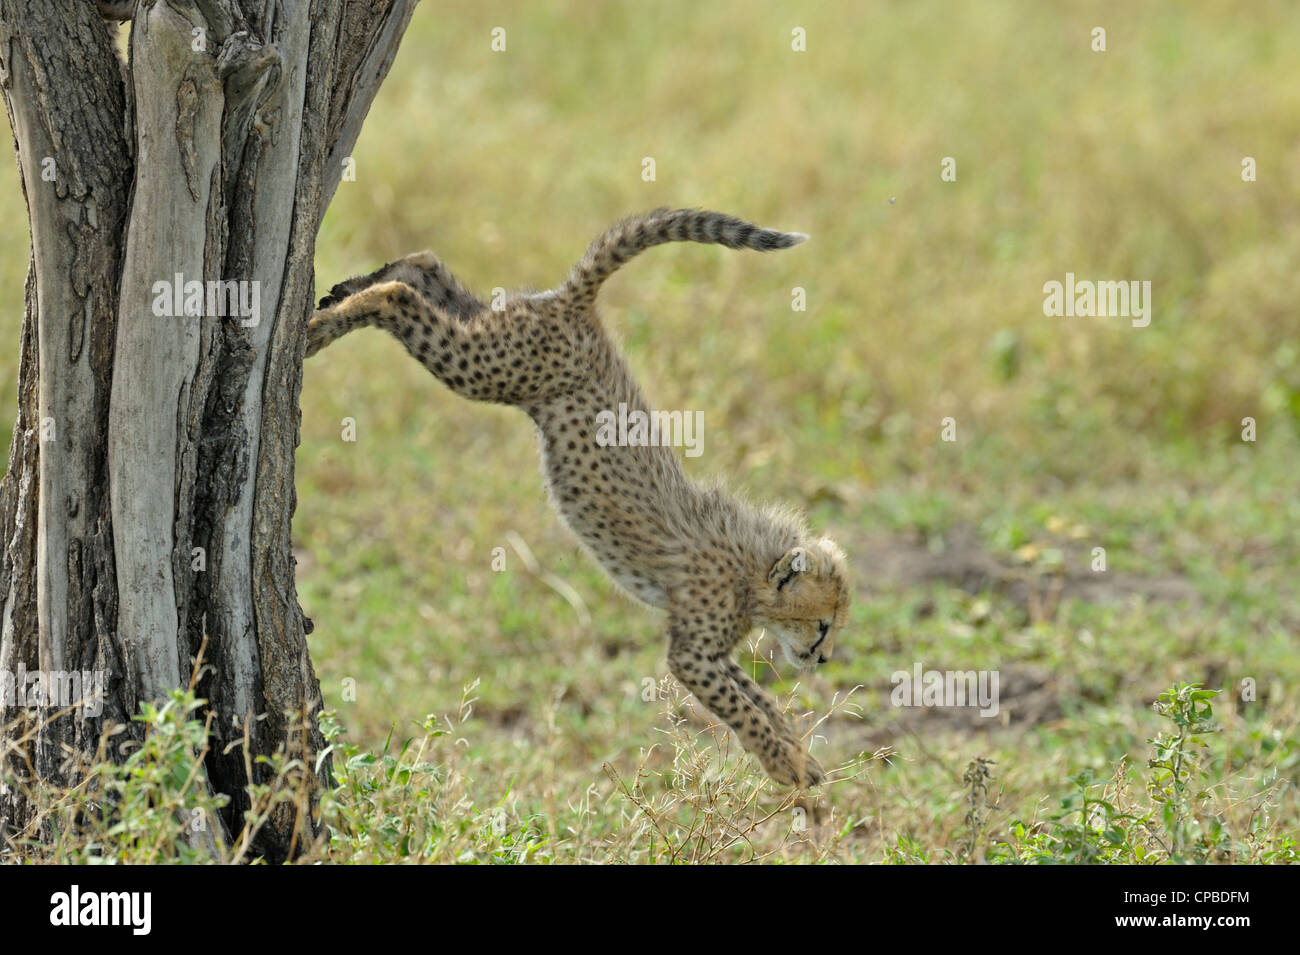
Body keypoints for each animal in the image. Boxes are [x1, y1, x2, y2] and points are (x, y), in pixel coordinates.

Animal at [306, 208, 849, 787]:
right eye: (821, 626)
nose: (822, 661)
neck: (753, 566)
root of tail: (574, 304)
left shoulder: (712, 650)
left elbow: (758, 700)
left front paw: (797, 750)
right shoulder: (694, 654)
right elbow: (742, 706)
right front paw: (787, 764)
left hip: (493, 339)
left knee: (428, 268)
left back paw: (349, 287)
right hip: (487, 367)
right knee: (400, 300)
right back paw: (323, 327)